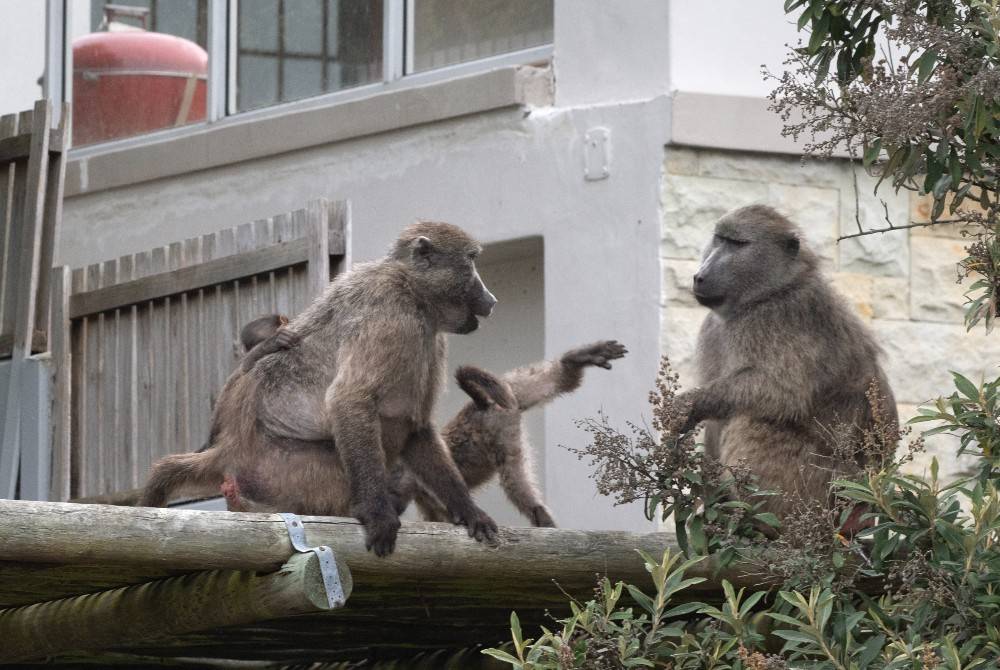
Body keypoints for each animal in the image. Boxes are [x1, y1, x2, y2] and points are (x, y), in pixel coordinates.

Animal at [139, 222, 500, 557]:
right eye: (472, 260)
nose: (492, 299)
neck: (411, 288)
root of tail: (232, 448)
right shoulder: (392, 318)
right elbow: (351, 399)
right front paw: (377, 514)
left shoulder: (429, 339)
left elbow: (416, 425)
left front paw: (469, 511)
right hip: (290, 477)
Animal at [390, 340, 628, 527]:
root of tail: (484, 405)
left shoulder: (412, 481)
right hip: (507, 396)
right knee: (533, 385)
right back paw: (575, 360)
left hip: (502, 429)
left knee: (513, 478)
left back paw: (541, 516)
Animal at [675, 204, 897, 524]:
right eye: (719, 239)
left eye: (738, 244)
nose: (700, 276)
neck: (771, 291)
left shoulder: (778, 318)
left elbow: (781, 393)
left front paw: (684, 406)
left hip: (816, 494)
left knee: (750, 419)